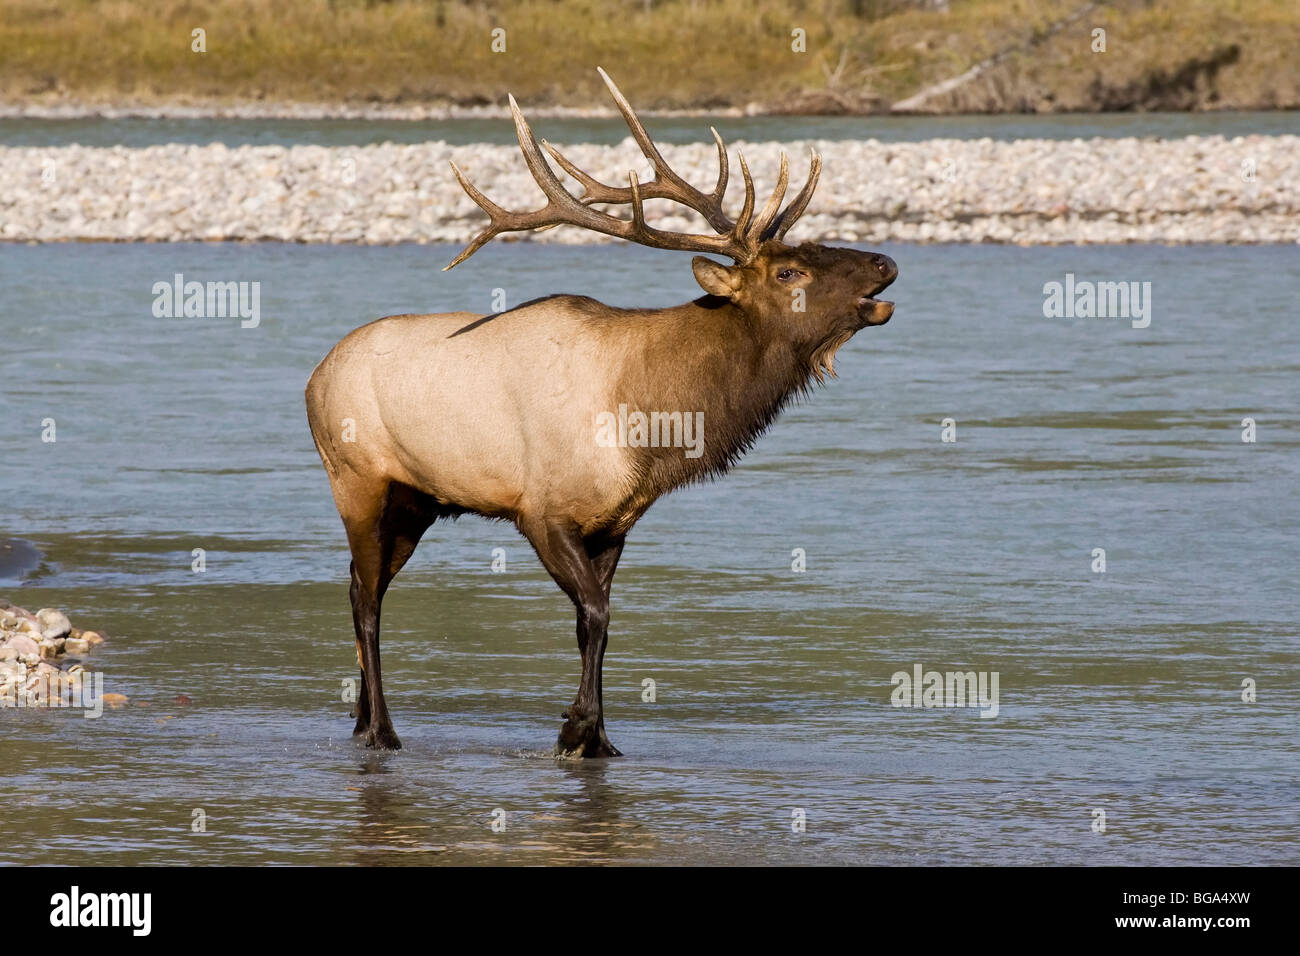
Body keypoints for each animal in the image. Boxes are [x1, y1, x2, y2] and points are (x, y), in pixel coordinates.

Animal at [305, 68, 898, 758]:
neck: (649, 420)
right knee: (366, 599)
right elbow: (595, 614)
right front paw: (575, 726)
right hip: (357, 480)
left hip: (416, 501)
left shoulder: (615, 523)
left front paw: (599, 738)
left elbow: (597, 626)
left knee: (359, 584)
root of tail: (314, 377)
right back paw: (382, 730)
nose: (886, 261)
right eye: (789, 271)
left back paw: (358, 719)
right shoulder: (541, 512)